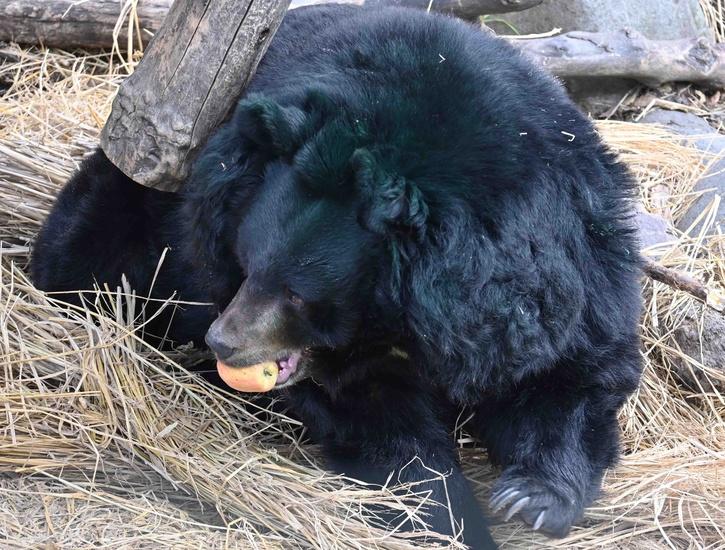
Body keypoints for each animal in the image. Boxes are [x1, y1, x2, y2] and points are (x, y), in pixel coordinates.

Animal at [31, 5, 643, 548]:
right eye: (246, 264)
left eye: (298, 294)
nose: (223, 340)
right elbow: (380, 427)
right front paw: (449, 517)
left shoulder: (575, 258)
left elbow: (572, 372)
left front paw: (531, 498)